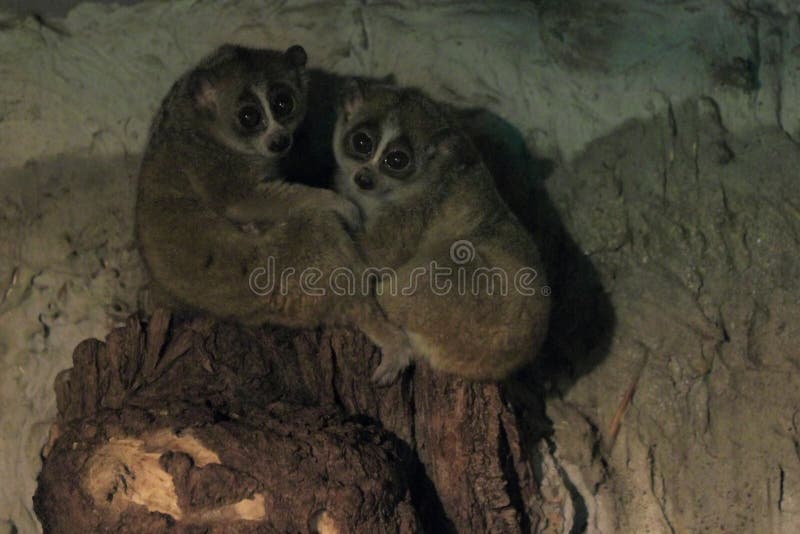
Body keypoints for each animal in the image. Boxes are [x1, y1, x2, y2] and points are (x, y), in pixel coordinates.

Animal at [135, 44, 414, 367]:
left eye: (283, 103)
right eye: (248, 116)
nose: (279, 140)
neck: (201, 118)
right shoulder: (211, 161)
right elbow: (243, 200)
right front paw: (340, 205)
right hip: (274, 278)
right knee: (320, 229)